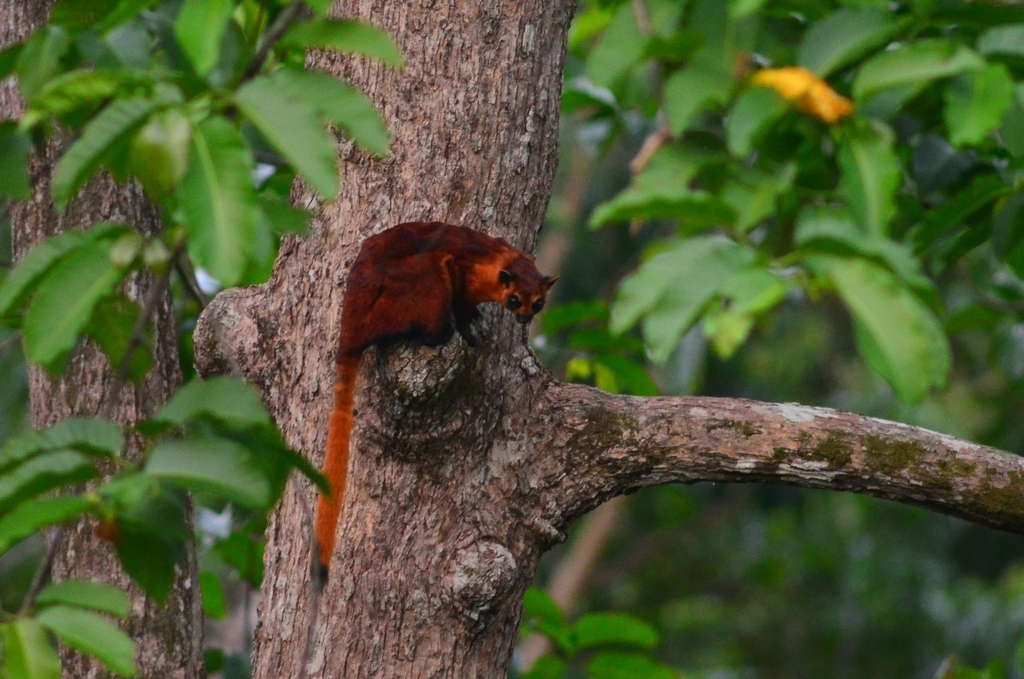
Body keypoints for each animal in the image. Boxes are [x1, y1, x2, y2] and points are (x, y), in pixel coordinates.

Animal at [313, 221, 557, 582]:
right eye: (515, 301)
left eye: (538, 304)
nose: (525, 319)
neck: (500, 260)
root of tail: (354, 323)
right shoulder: (467, 277)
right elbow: (464, 303)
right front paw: (469, 327)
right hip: (418, 286)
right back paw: (440, 332)